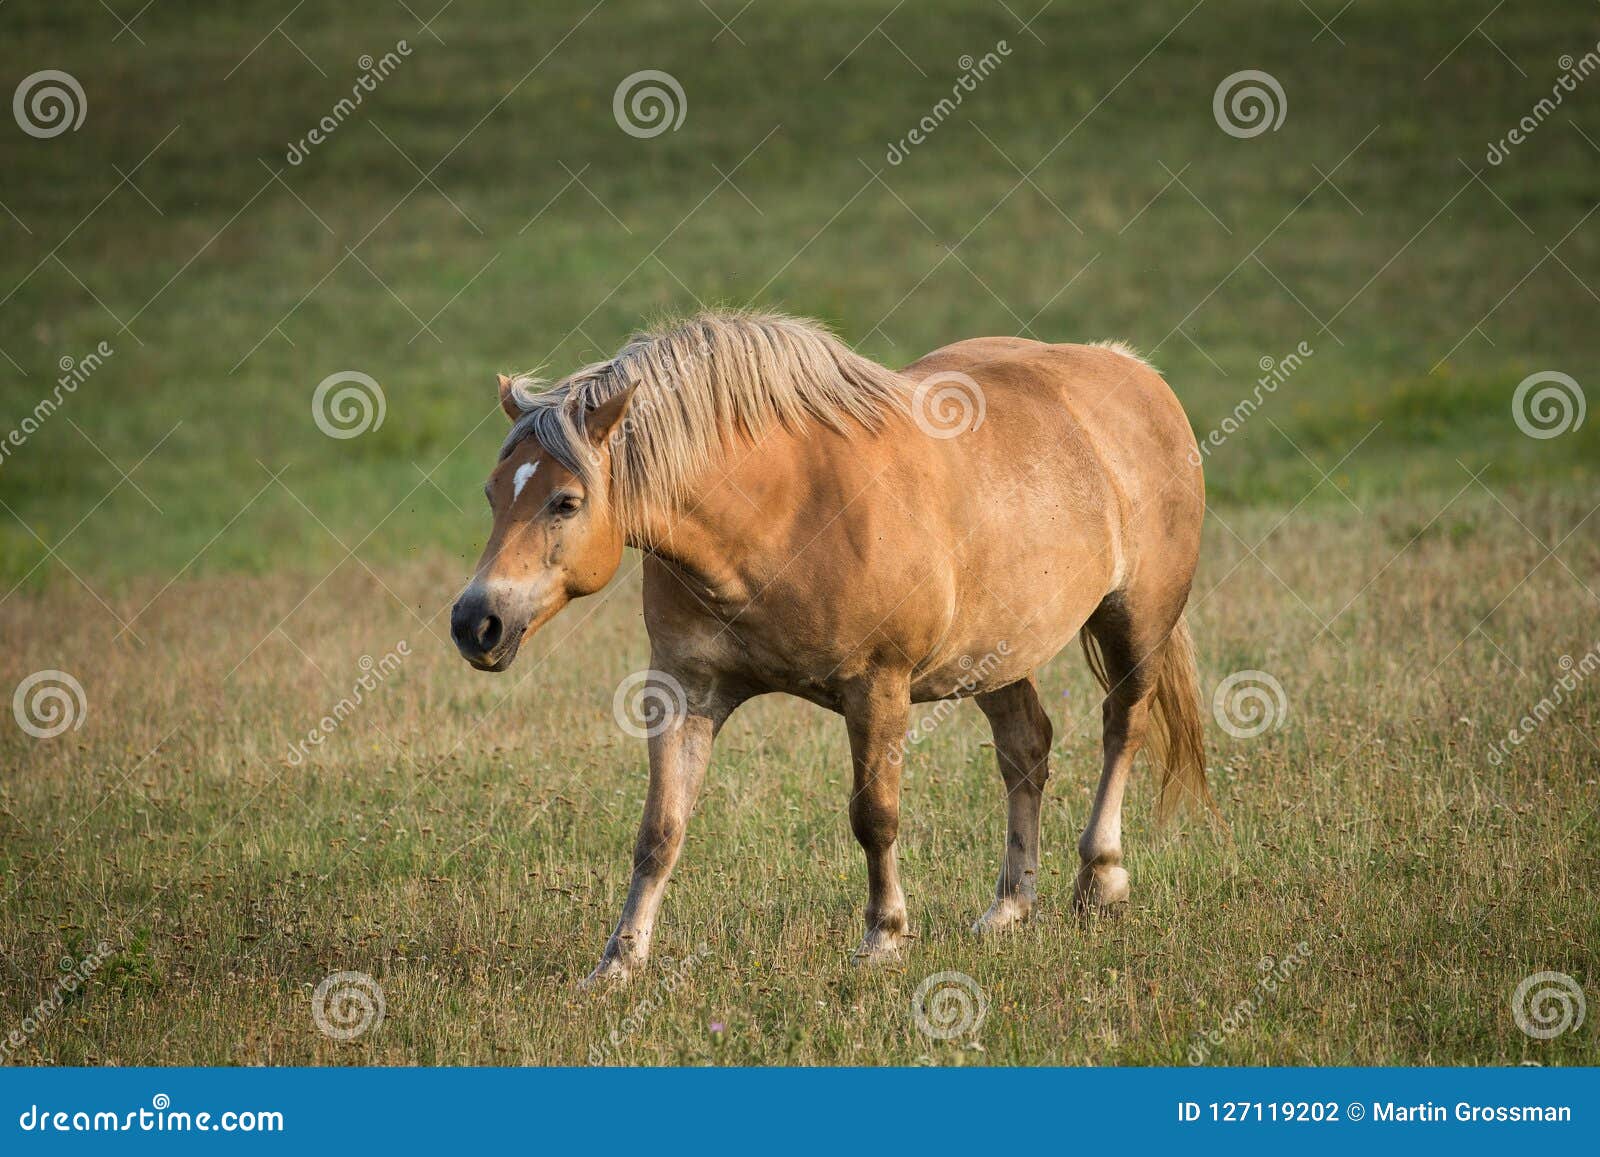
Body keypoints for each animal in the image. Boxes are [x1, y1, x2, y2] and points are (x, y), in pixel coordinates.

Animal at [450, 310, 1214, 983]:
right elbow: (659, 831)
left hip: (1136, 623)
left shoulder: (877, 688)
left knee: (1122, 727)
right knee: (1026, 748)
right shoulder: (684, 689)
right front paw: (618, 962)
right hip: (998, 652)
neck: (784, 511)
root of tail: (1135, 373)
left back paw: (1101, 877)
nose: (475, 622)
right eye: (490, 493)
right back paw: (1009, 905)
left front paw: (883, 937)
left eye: (567, 502)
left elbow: (874, 818)